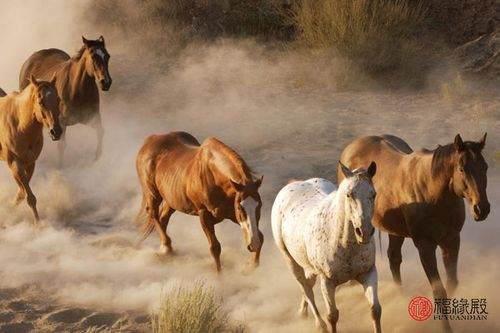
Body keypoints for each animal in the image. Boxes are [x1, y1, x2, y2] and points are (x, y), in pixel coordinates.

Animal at [0, 75, 63, 223]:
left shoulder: (30, 163)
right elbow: (29, 196)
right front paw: (38, 225)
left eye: (58, 100)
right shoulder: (15, 163)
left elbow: (22, 194)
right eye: (40, 101)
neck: (19, 124)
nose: (56, 131)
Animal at [19, 35, 112, 163]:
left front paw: (97, 158)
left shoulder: (92, 118)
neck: (77, 90)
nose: (106, 82)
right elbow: (61, 146)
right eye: (93, 56)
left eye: (107, 56)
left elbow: (101, 132)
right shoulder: (61, 123)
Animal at [135, 131, 264, 272]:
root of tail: (150, 140)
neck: (213, 176)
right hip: (152, 194)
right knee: (153, 213)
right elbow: (215, 248)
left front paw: (251, 266)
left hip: (171, 200)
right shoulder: (204, 214)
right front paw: (220, 276)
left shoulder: (231, 214)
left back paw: (166, 250)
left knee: (163, 218)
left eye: (260, 206)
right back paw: (166, 247)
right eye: (240, 207)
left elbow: (261, 236)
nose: (253, 244)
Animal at [274, 162, 378, 330]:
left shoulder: (368, 273)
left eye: (373, 194)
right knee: (306, 288)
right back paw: (318, 324)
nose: (365, 232)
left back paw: (302, 311)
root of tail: (292, 185)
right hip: (290, 261)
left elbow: (375, 310)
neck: (344, 244)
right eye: (349, 194)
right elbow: (332, 316)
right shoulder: (327, 282)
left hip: (309, 266)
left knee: (308, 284)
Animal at [338, 134, 490, 332]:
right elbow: (439, 290)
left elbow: (452, 283)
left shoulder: (451, 241)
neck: (433, 192)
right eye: (462, 169)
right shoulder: (425, 246)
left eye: (485, 167)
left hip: (395, 231)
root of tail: (351, 147)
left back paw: (400, 296)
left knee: (394, 258)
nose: (482, 209)